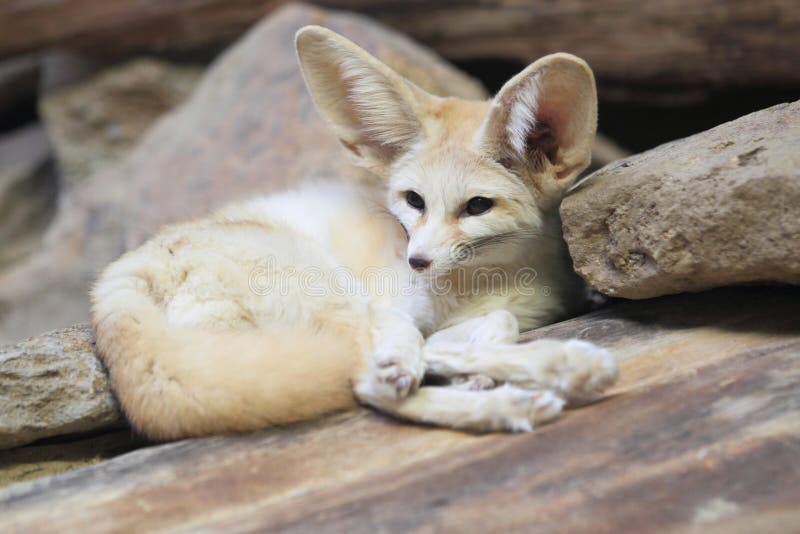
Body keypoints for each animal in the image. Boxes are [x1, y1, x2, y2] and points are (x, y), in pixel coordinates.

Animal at [90, 25, 618, 440]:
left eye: (476, 207)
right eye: (414, 200)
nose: (416, 261)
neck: (484, 283)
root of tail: (112, 283)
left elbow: (493, 325)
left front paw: (474, 360)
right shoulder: (389, 304)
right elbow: (418, 344)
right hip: (331, 290)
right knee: (368, 382)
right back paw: (542, 382)